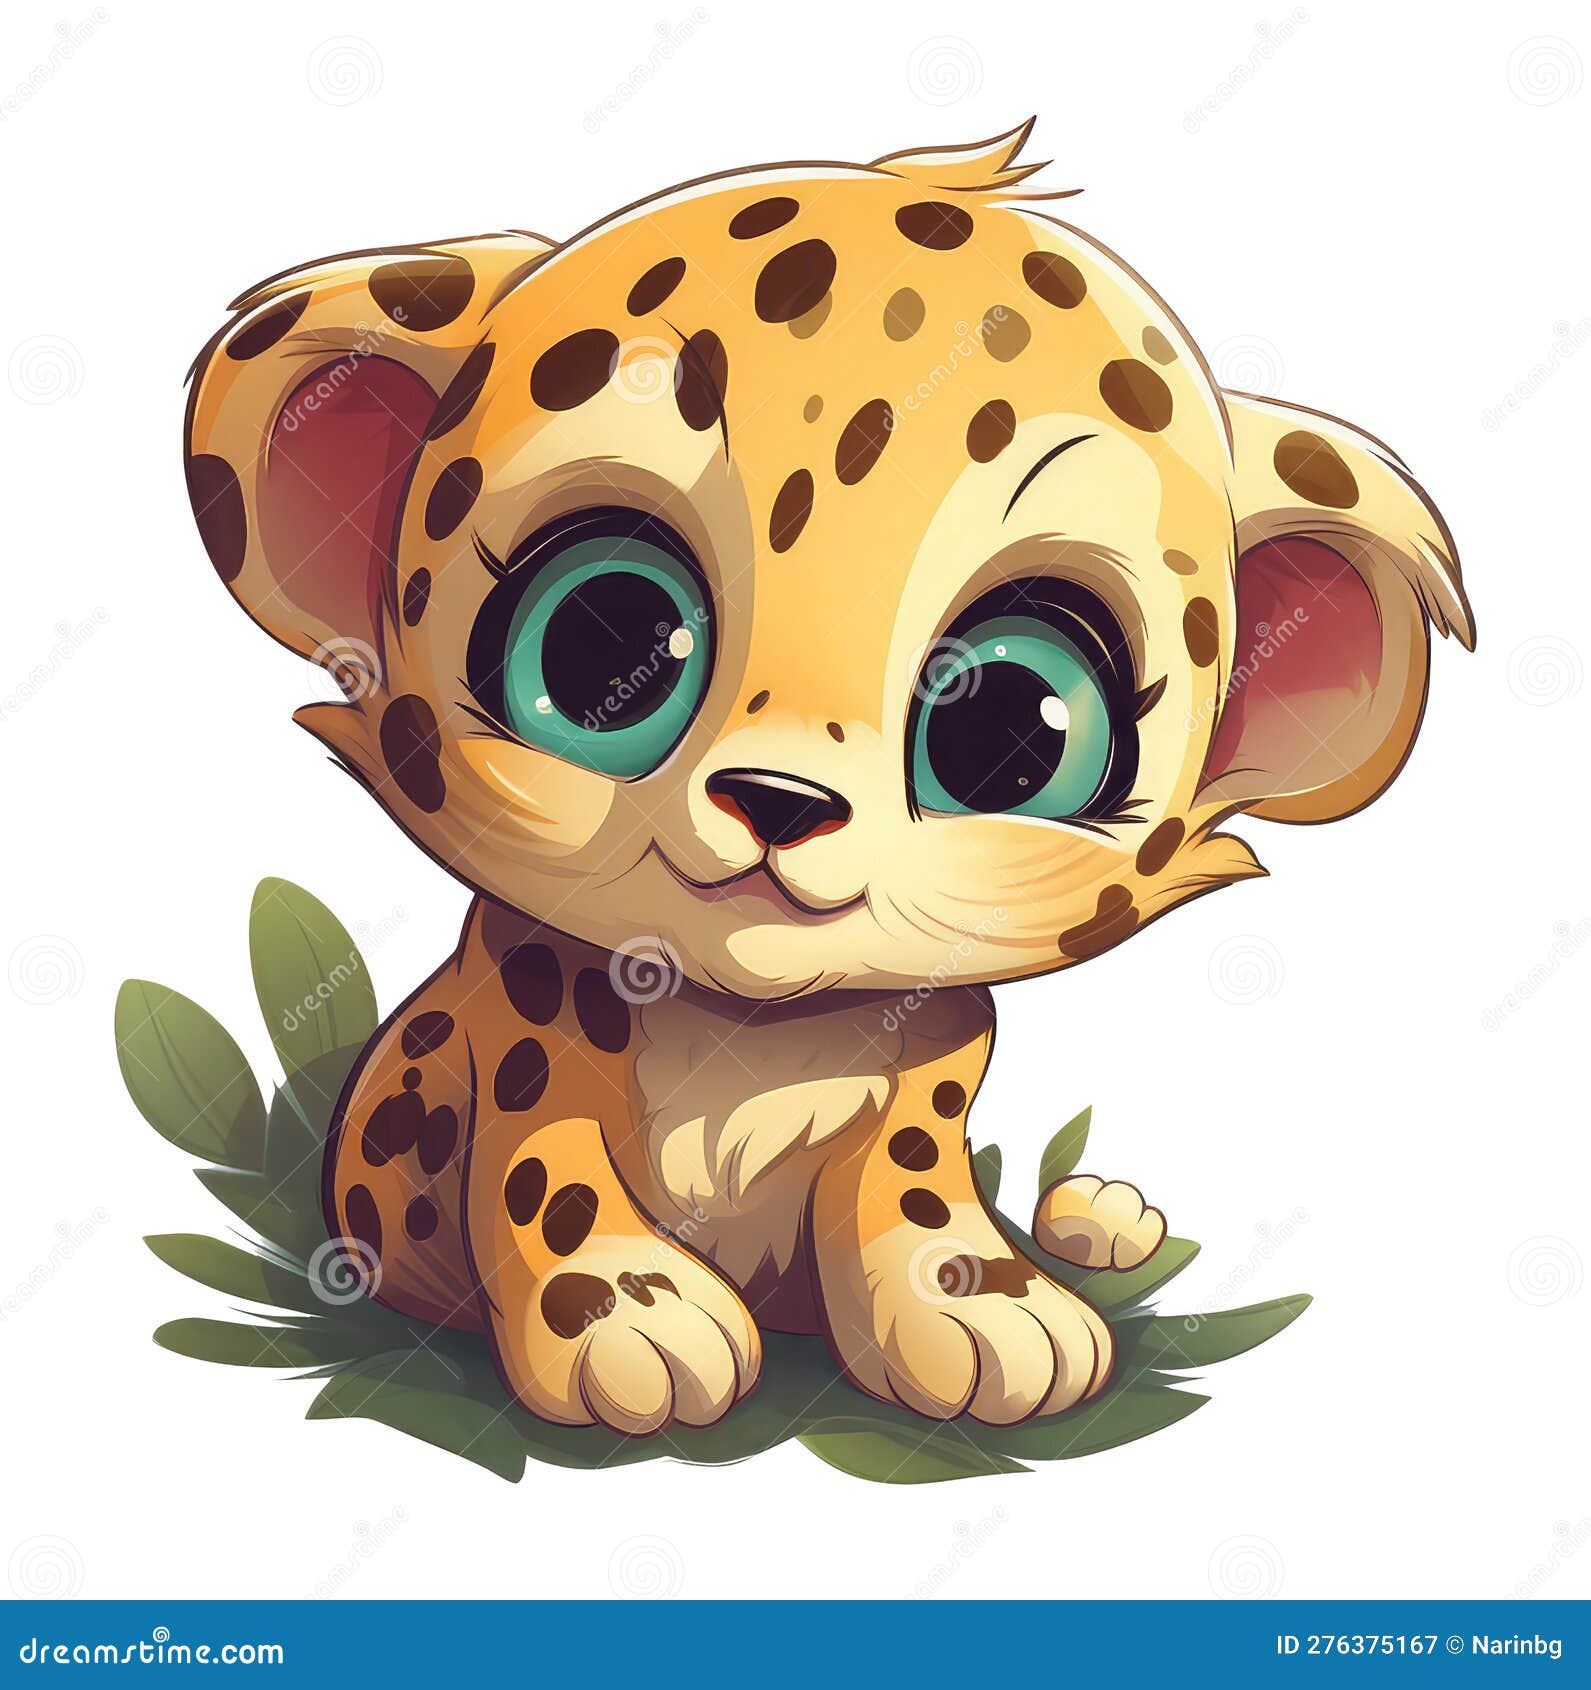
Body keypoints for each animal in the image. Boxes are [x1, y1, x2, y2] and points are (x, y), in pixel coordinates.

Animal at [182, 121, 1474, 1435]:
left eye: (1012, 723)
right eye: (606, 639)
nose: (780, 802)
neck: (754, 1031)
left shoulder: (933, 1068)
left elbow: (913, 1187)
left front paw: (977, 1299)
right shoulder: (526, 1034)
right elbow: (551, 1169)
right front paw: (628, 1309)